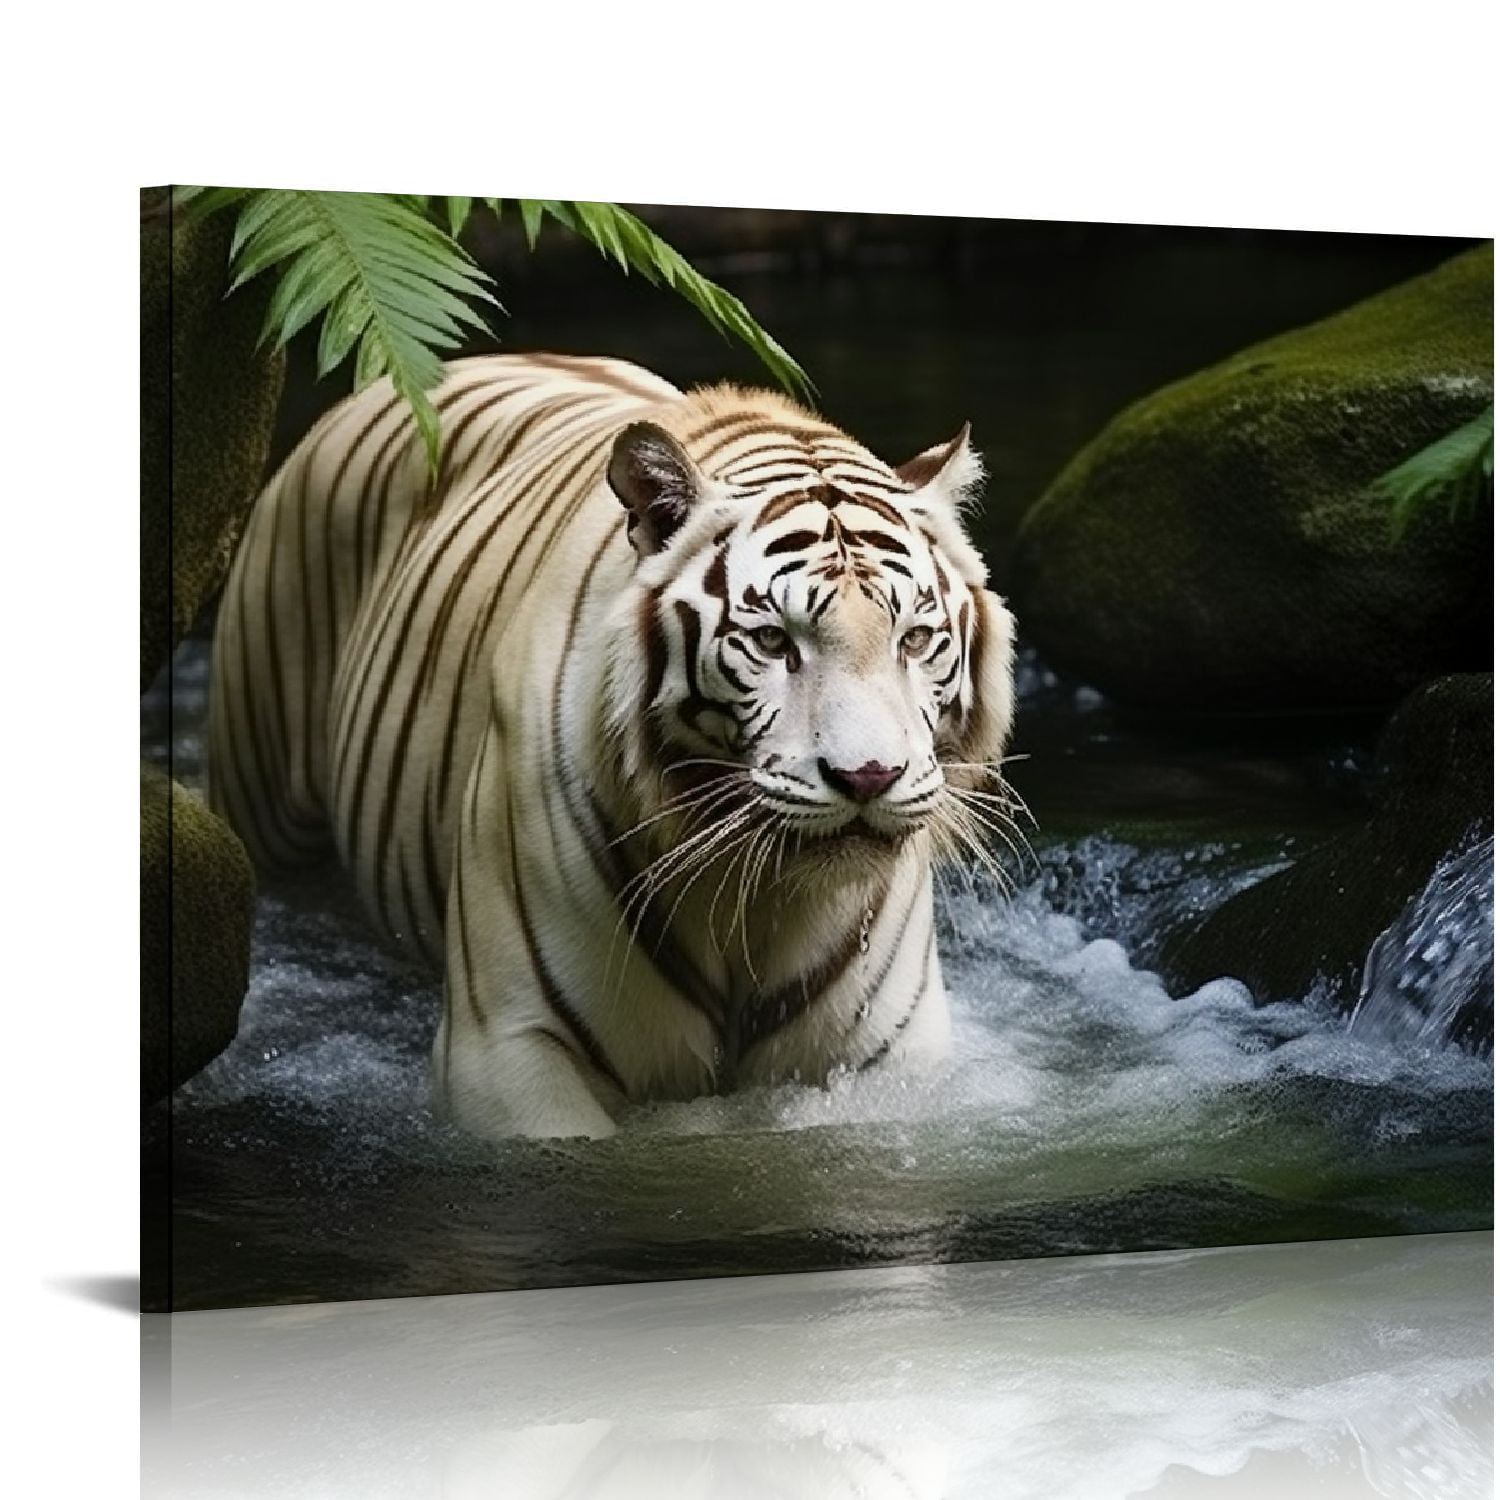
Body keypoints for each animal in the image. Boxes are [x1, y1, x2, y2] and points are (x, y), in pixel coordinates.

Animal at [209, 352, 1017, 1140]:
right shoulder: (506, 1048)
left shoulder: (889, 1059)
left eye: (914, 638)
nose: (870, 777)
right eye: (771, 641)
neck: (756, 905)